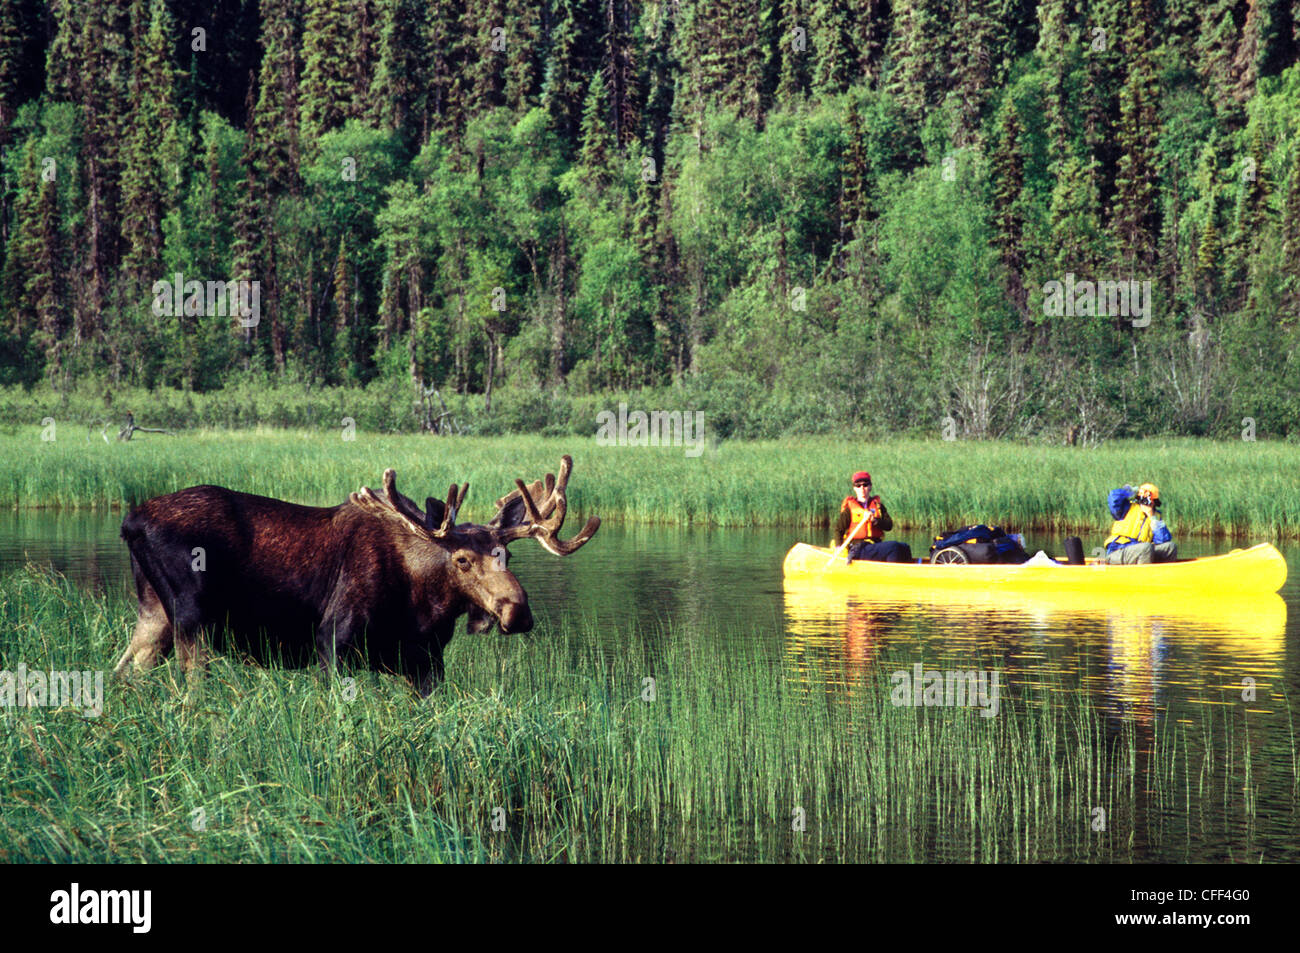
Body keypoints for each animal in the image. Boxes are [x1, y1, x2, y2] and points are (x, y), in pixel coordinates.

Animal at [114, 455, 600, 695]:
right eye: (462, 560)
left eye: (508, 556)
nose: (518, 612)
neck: (425, 604)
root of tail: (131, 521)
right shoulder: (334, 640)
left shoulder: (424, 661)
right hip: (191, 618)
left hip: (153, 615)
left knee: (125, 671)